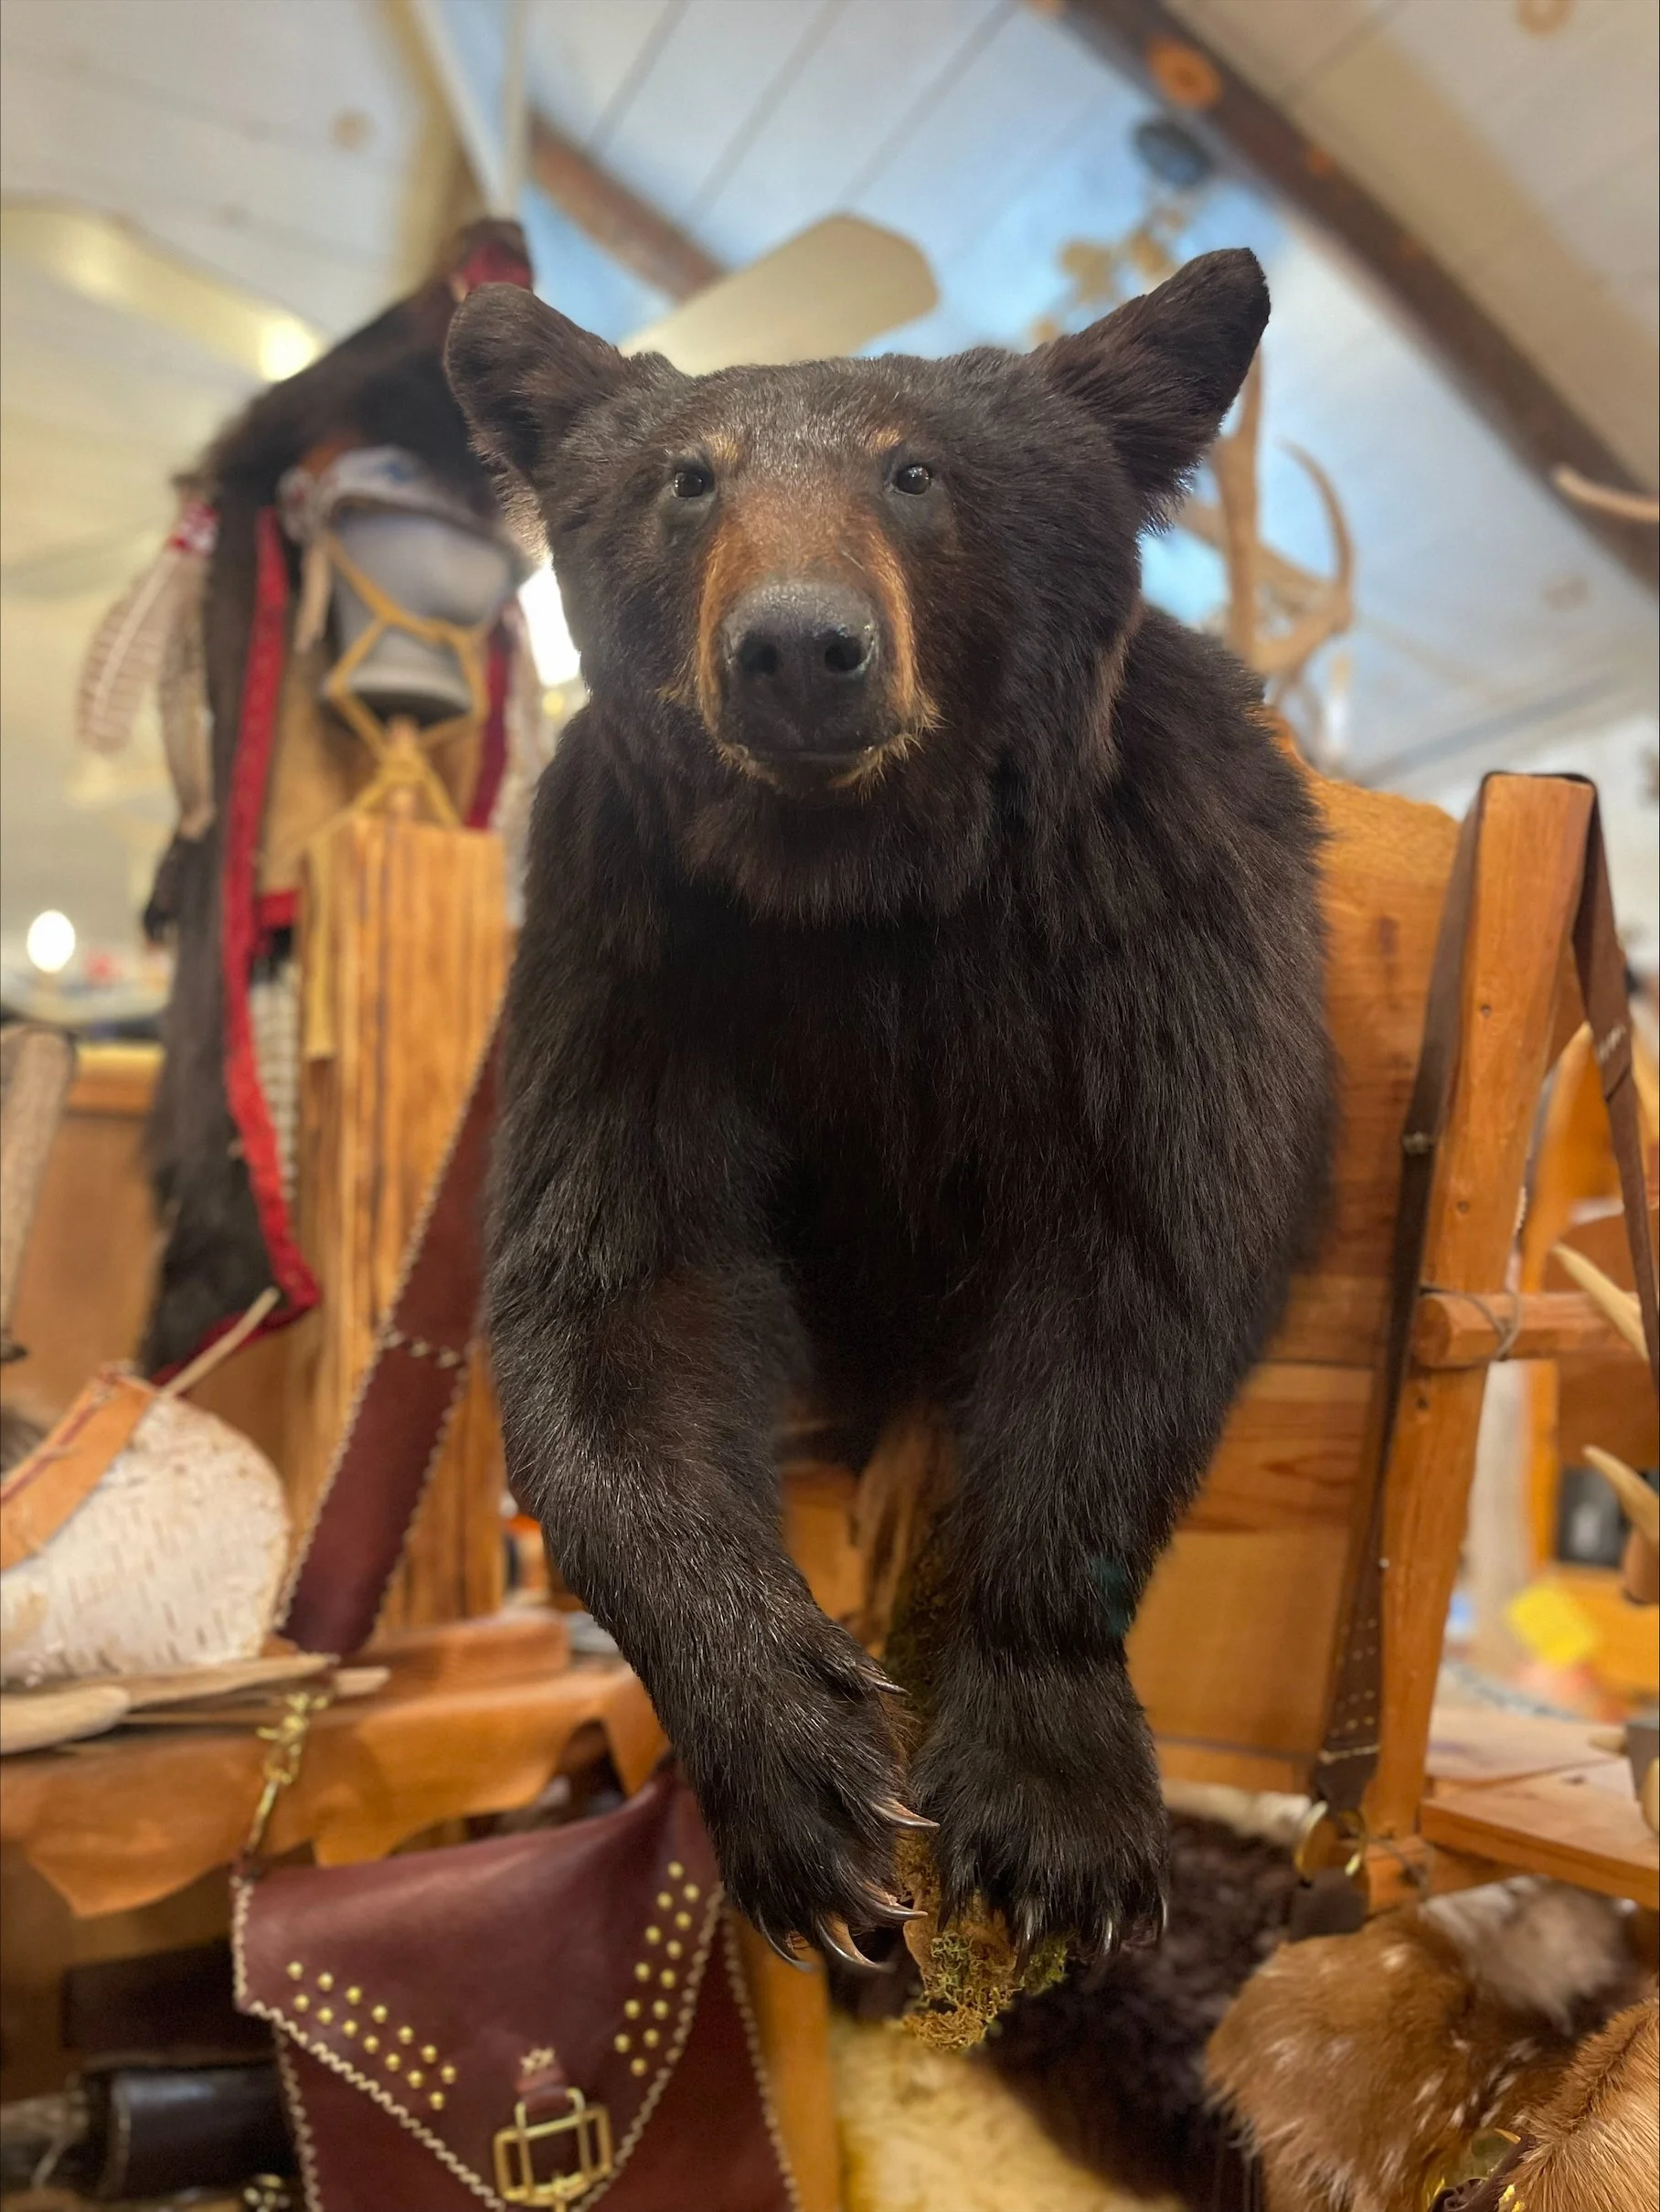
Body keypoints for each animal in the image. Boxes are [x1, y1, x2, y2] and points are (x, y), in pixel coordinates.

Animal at [444, 248, 1333, 1970]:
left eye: (914, 472)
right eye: (689, 479)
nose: (798, 648)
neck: (863, 885)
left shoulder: (1153, 893)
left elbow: (1144, 1250)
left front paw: (1054, 1816)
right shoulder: (632, 941)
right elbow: (620, 1297)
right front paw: (801, 1775)